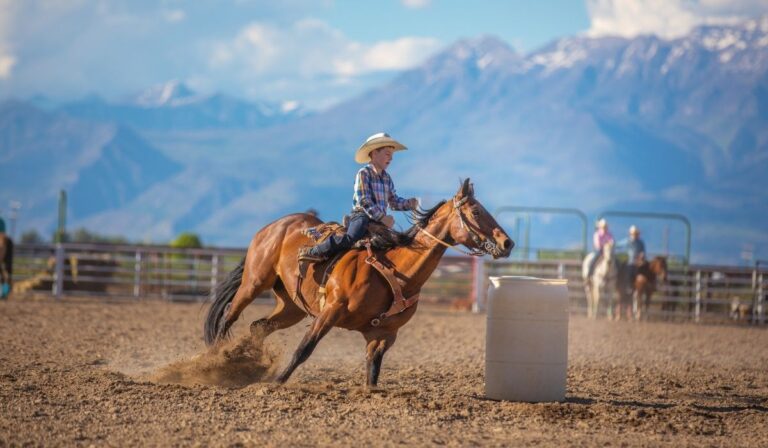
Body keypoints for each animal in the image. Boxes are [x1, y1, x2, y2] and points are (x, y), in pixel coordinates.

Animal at [203, 179, 513, 386]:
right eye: (476, 212)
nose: (506, 243)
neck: (396, 271)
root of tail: (275, 225)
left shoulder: (385, 334)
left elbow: (372, 371)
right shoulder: (330, 312)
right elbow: (304, 349)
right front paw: (277, 383)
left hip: (292, 306)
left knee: (259, 326)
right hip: (254, 283)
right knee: (229, 317)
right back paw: (215, 360)